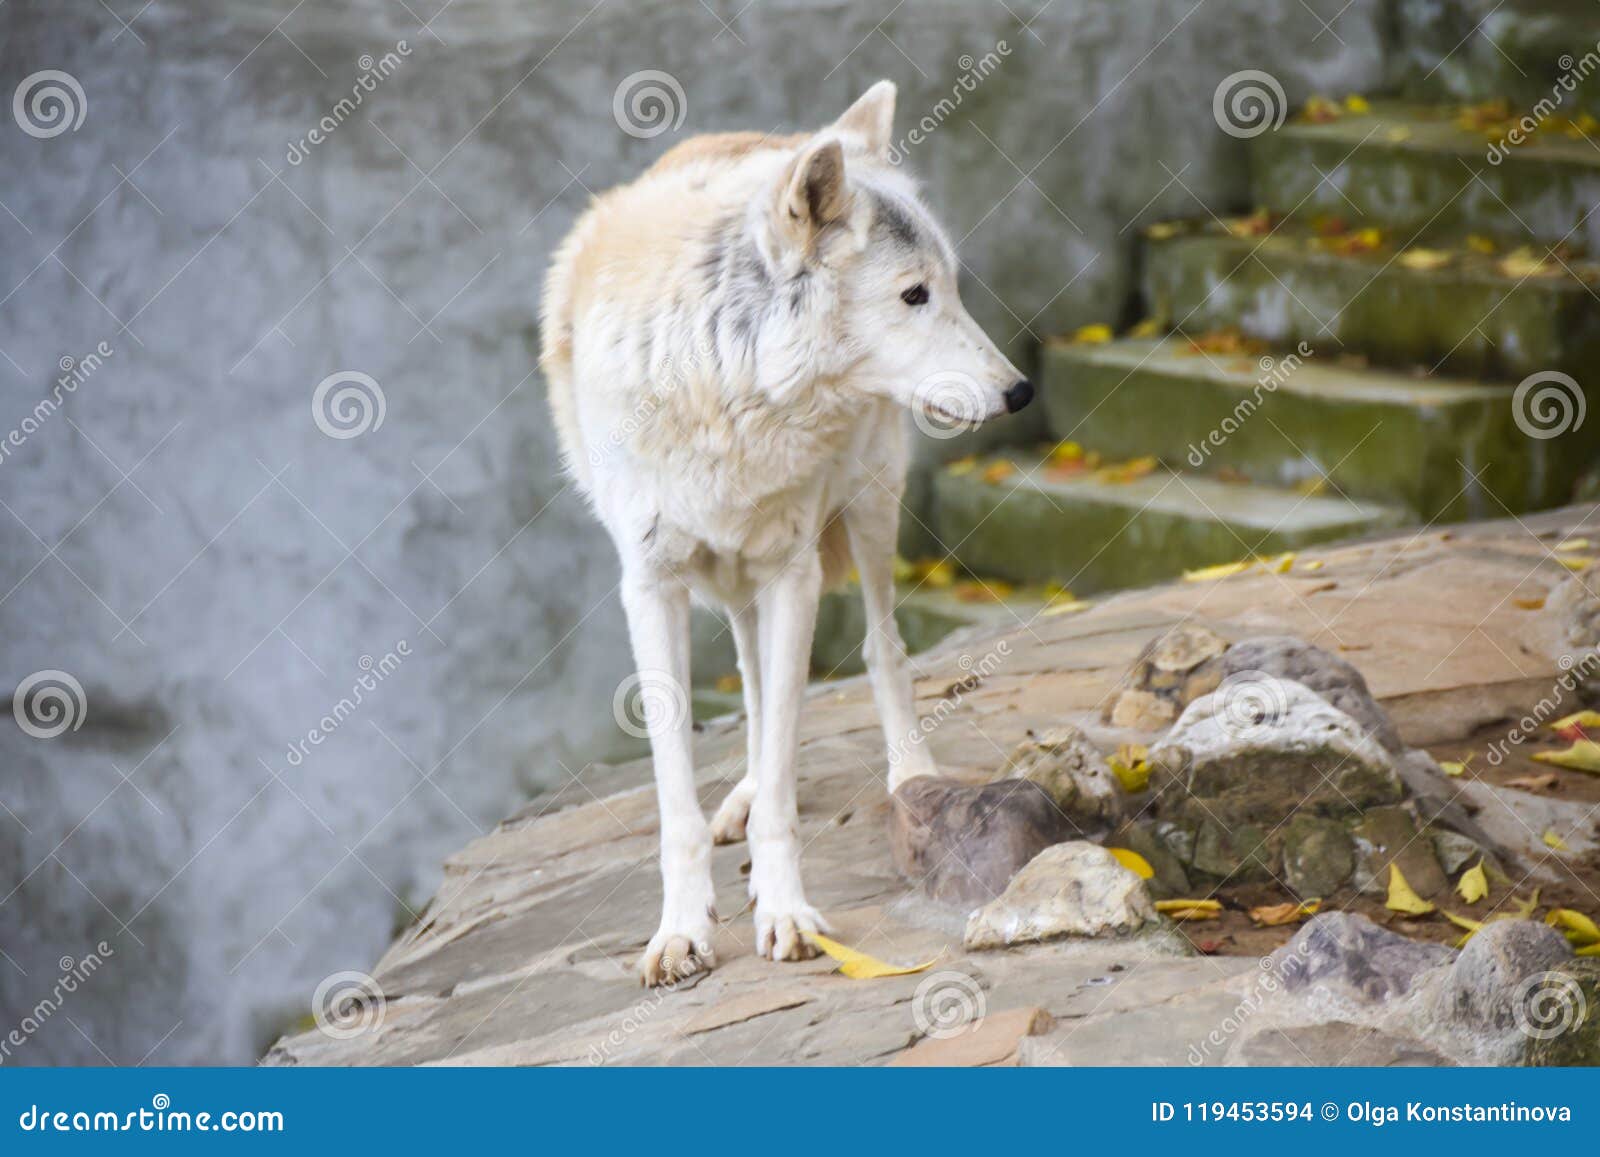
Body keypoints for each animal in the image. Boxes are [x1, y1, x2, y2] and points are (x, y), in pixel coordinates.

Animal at [540, 81, 1031, 985]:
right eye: (915, 294)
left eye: (951, 286)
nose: (1017, 391)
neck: (724, 380)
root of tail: (771, 136)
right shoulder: (651, 587)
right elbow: (680, 796)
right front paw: (681, 930)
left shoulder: (794, 573)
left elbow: (787, 773)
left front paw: (786, 913)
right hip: (734, 580)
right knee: (759, 688)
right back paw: (741, 792)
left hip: (868, 508)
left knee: (880, 647)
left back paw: (911, 774)